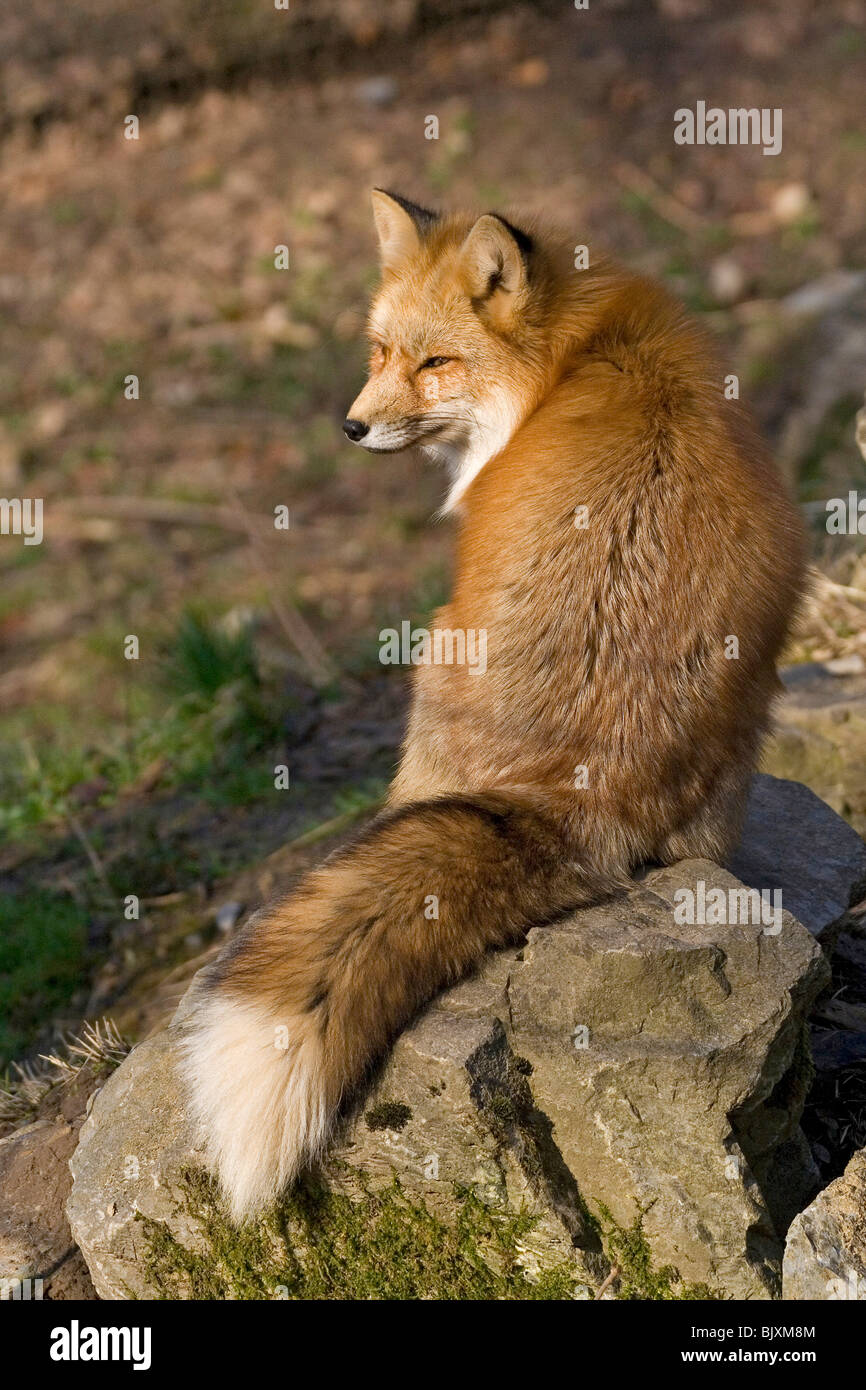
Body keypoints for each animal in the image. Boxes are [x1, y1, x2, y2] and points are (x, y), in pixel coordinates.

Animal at [182, 189, 807, 1221]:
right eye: (379, 352)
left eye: (436, 362)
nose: (349, 427)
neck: (586, 350)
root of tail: (568, 797)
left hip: (432, 650)